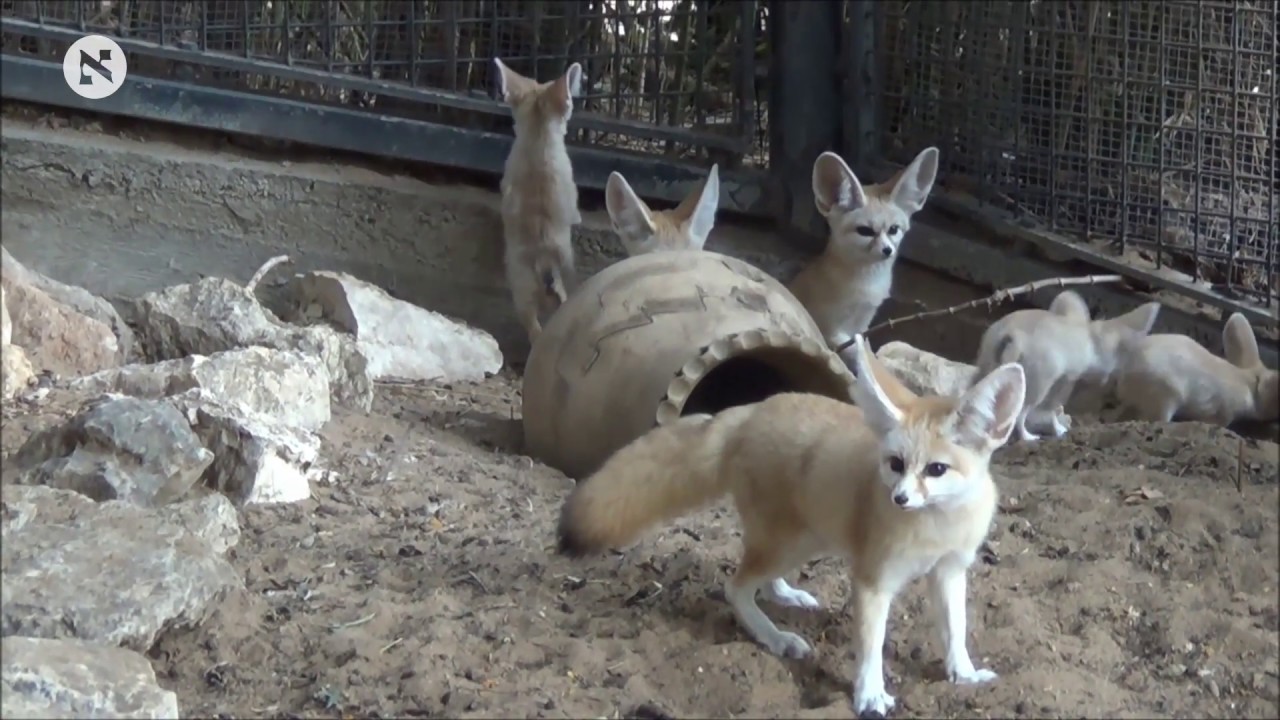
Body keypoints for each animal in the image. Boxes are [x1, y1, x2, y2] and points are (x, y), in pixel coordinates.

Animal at [557, 333, 1026, 718]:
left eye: (936, 469)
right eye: (895, 464)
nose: (900, 498)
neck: (937, 525)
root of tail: (750, 410)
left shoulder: (949, 571)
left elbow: (955, 630)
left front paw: (963, 673)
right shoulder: (873, 581)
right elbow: (870, 646)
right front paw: (869, 695)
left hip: (805, 537)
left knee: (760, 581)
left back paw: (786, 596)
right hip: (788, 542)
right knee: (736, 587)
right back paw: (777, 637)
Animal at [788, 147, 940, 356]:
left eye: (893, 229)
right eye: (865, 231)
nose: (887, 250)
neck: (867, 284)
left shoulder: (861, 325)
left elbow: (865, 348)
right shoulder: (831, 330)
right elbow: (856, 351)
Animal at [972, 289, 1161, 442]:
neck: (1092, 338)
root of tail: (1011, 335)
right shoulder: (1067, 378)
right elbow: (1053, 409)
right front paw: (1059, 429)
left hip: (988, 368)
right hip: (1036, 385)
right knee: (1020, 415)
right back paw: (1028, 437)